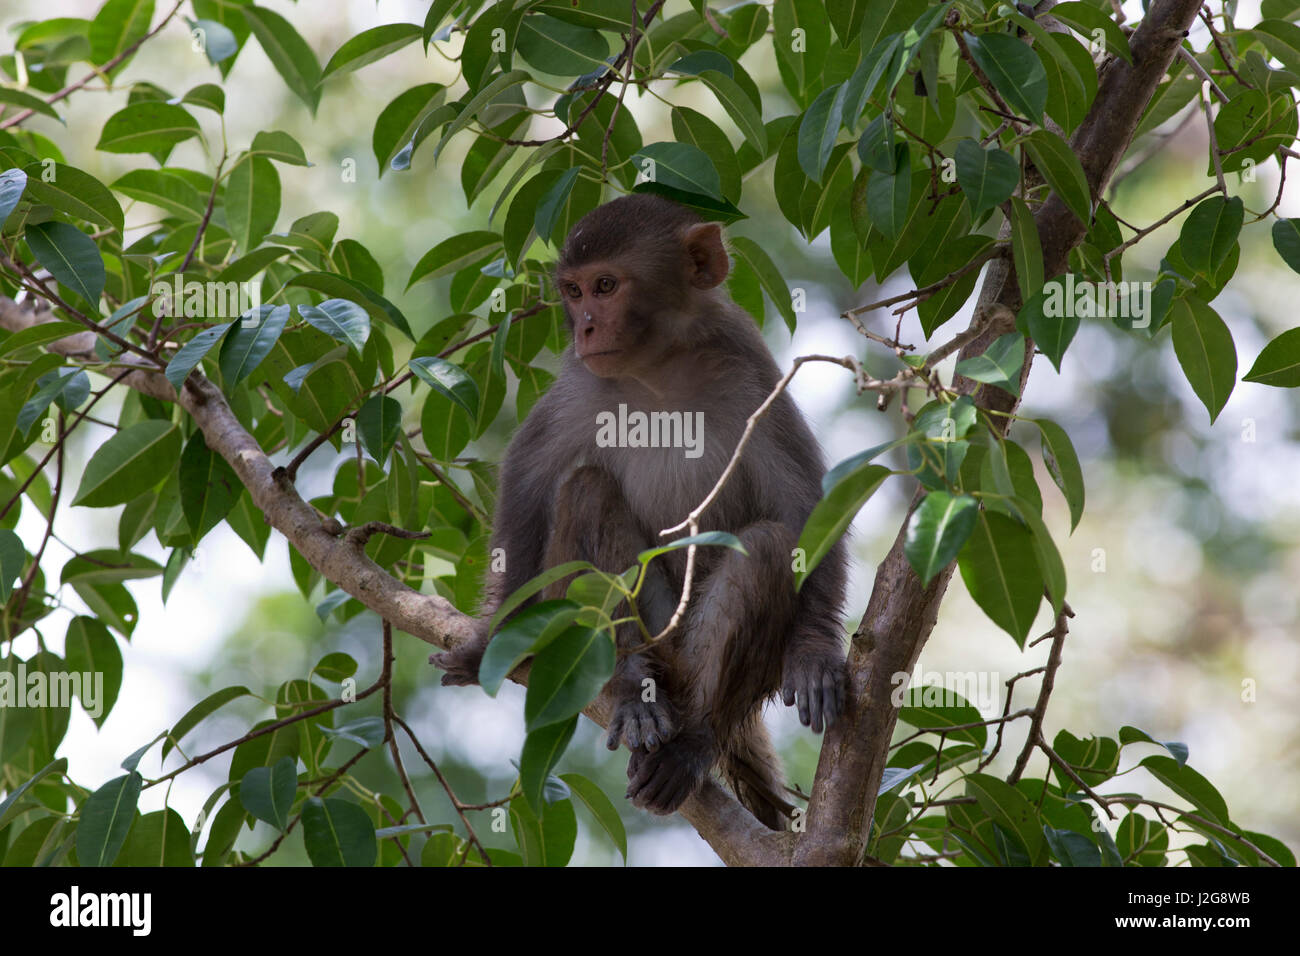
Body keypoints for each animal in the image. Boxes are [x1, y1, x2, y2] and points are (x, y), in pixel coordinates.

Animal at [433, 194, 847, 829]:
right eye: (573, 291)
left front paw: (816, 649)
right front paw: (495, 635)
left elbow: (804, 510)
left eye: (606, 286)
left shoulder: (750, 373)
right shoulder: (580, 384)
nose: (584, 325)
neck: (659, 371)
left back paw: (696, 741)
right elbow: (528, 481)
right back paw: (634, 693)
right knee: (585, 491)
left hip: (691, 655)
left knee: (767, 547)